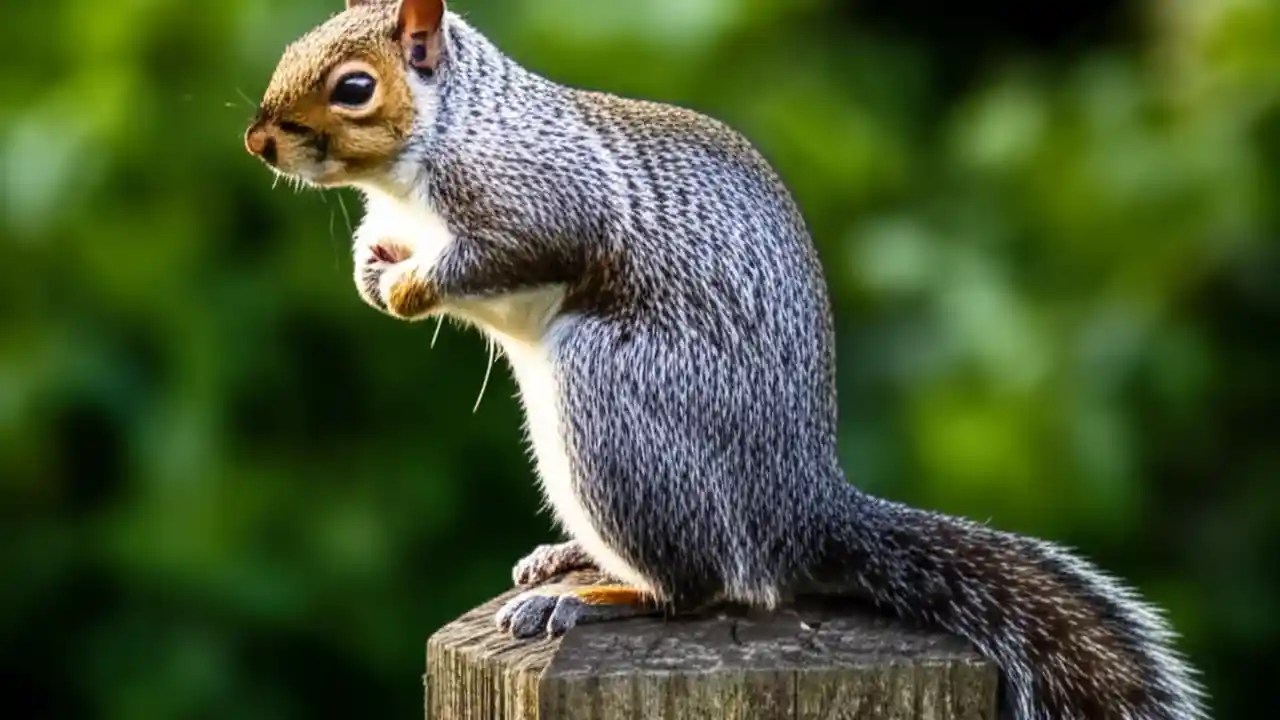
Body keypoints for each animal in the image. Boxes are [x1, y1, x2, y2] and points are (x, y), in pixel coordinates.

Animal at [244, 1, 1206, 718]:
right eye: (290, 49)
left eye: (355, 87)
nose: (259, 142)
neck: (436, 146)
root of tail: (806, 508)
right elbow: (381, 251)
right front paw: (374, 275)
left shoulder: (540, 197)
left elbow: (518, 248)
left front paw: (411, 291)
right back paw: (572, 561)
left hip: (611, 401)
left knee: (705, 587)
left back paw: (599, 597)